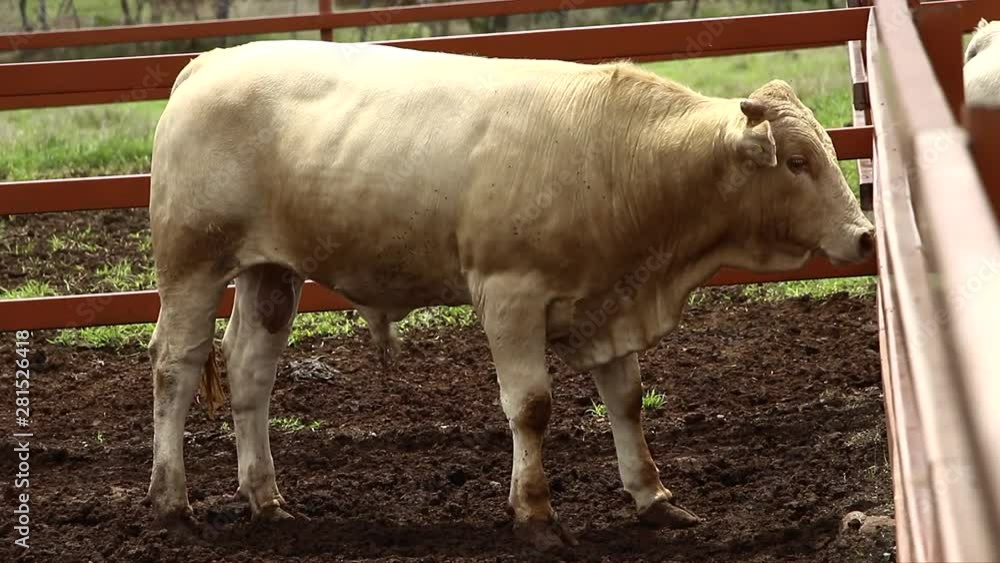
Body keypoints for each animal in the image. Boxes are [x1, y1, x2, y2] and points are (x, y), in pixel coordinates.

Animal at [145, 40, 875, 551]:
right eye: (797, 162)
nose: (865, 236)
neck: (617, 156)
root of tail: (207, 64)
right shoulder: (509, 296)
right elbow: (531, 407)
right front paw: (535, 512)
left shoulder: (609, 298)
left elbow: (627, 400)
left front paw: (654, 497)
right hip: (192, 266)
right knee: (174, 367)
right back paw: (172, 502)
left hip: (271, 272)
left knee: (250, 373)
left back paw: (266, 499)